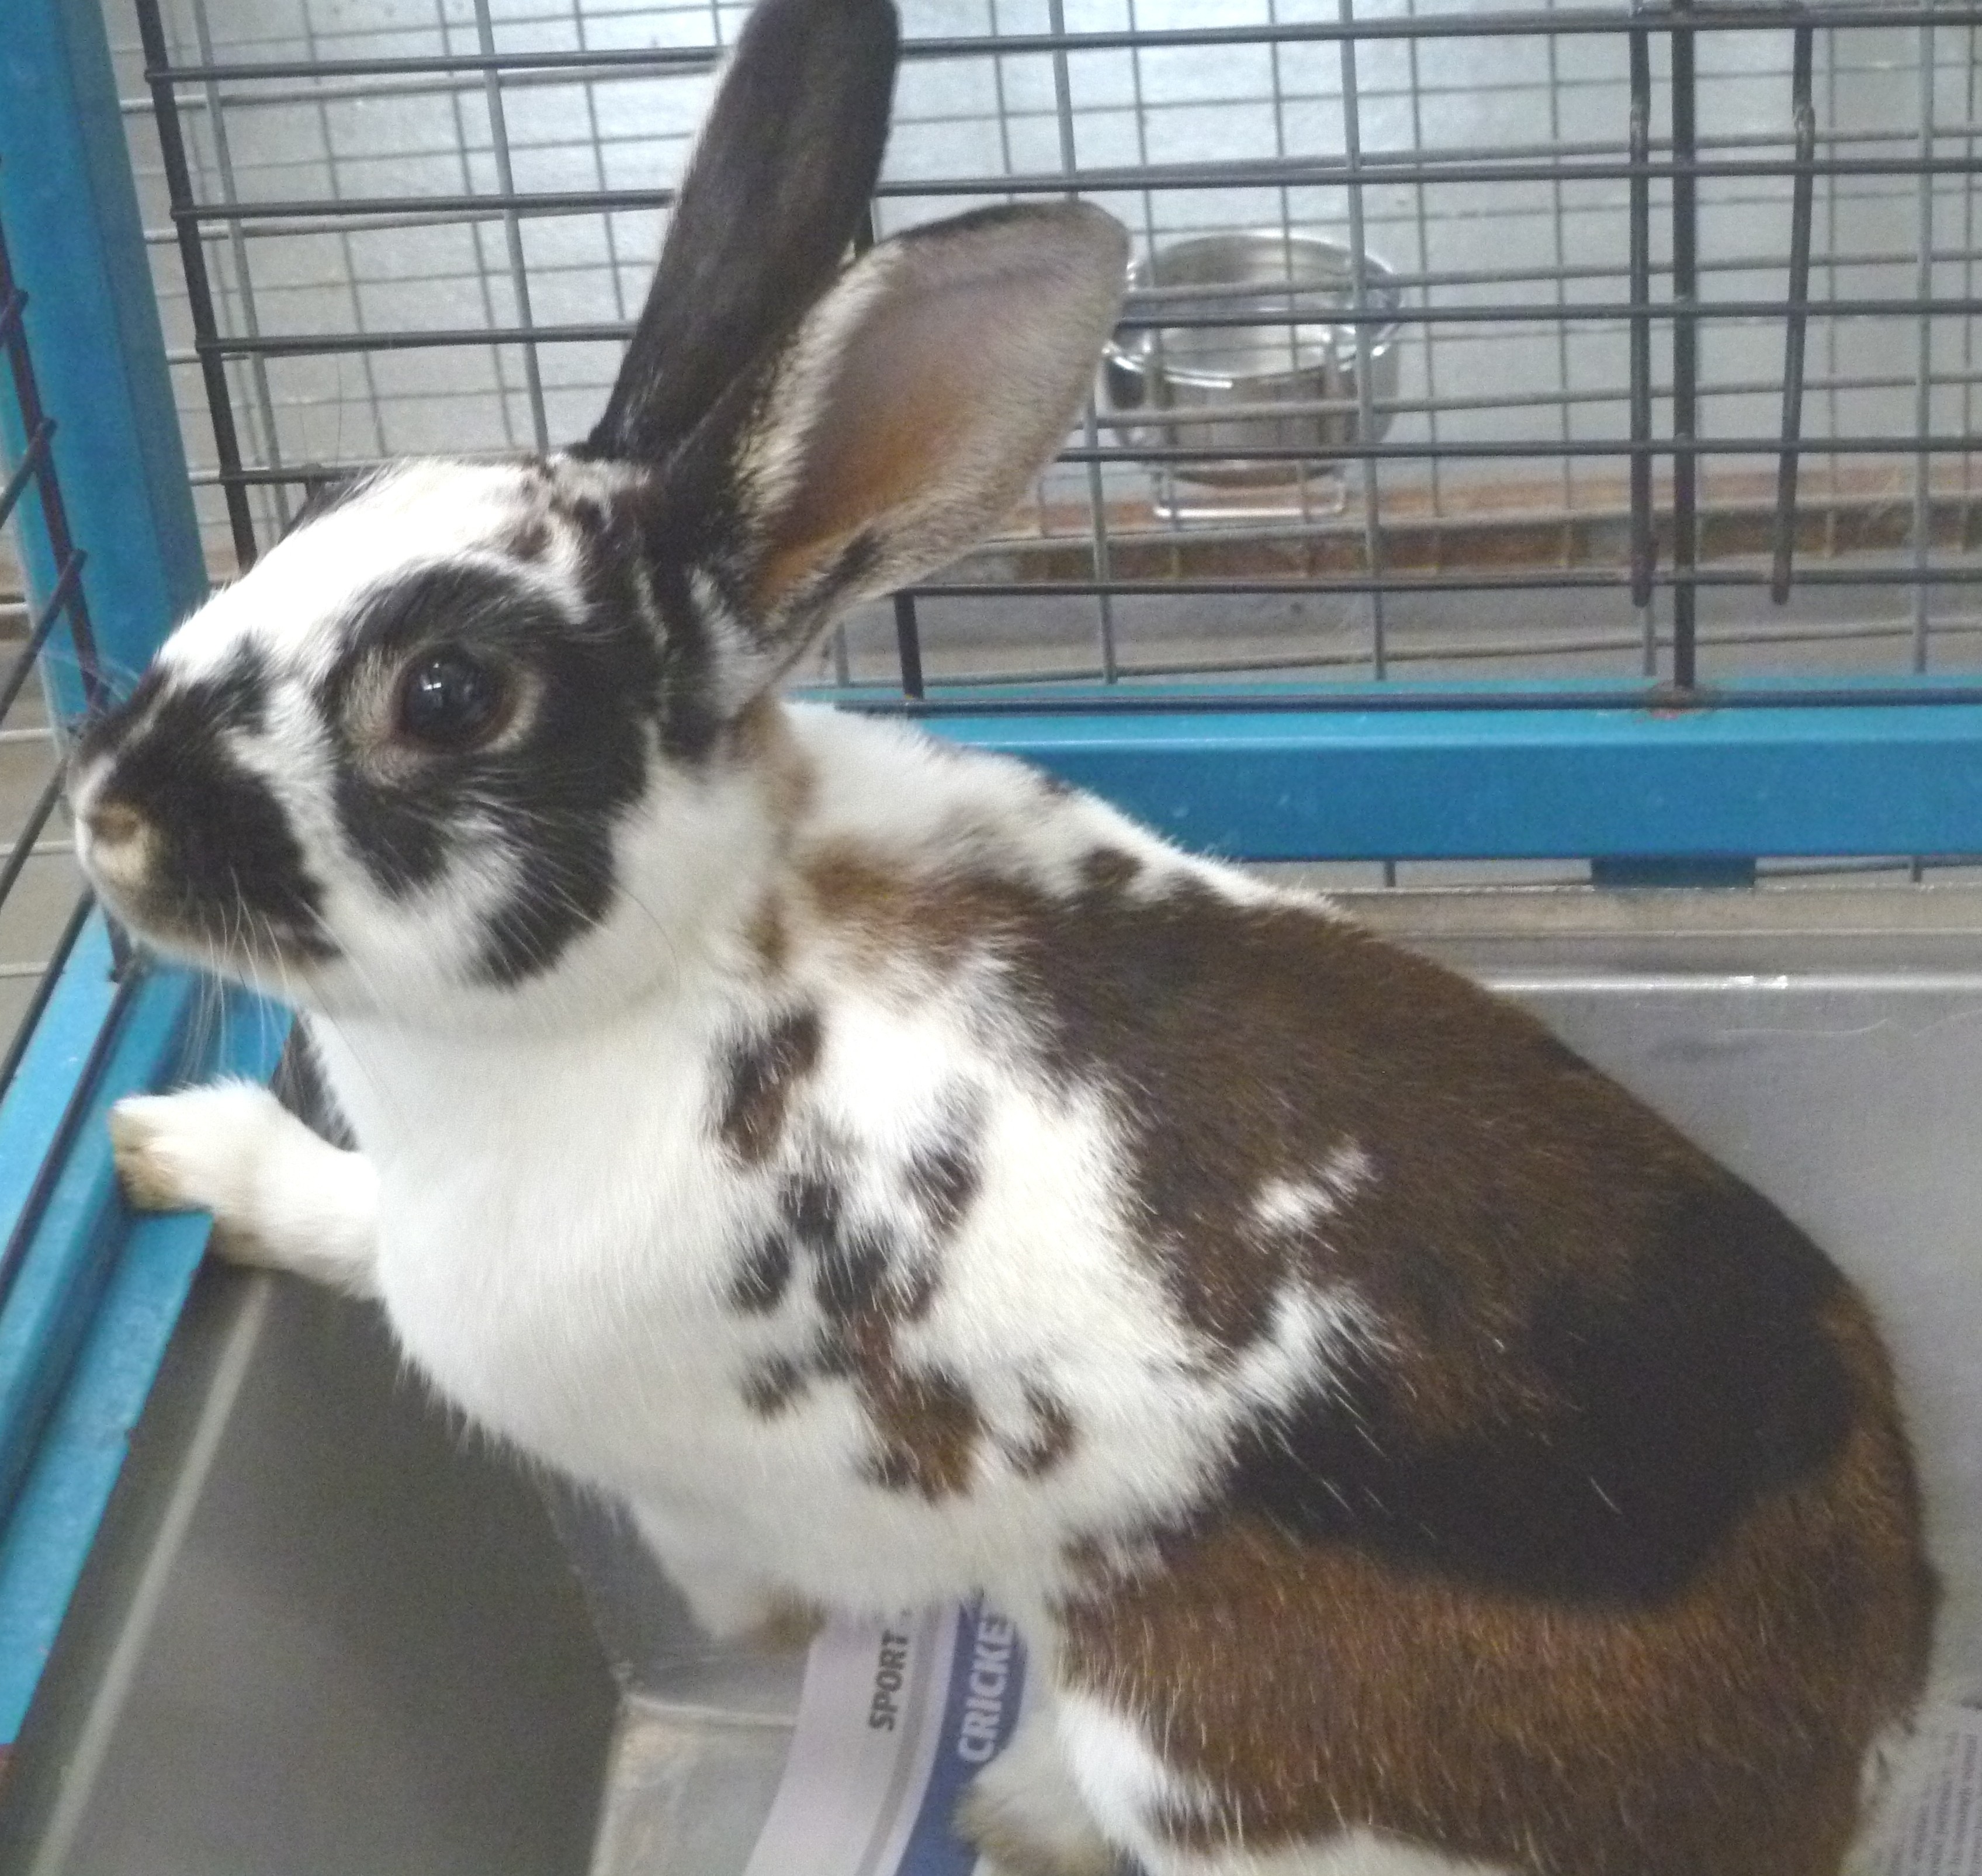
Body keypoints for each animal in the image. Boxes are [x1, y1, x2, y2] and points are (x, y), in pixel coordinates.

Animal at [70, 0, 1934, 1871]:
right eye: (319, 494)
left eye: (448, 694)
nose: (101, 810)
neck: (689, 950)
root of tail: (1841, 1770)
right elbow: (333, 1203)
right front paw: (172, 1150)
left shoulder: (666, 1463)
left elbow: (697, 1546)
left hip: (1202, 1746)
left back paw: (1018, 1801)